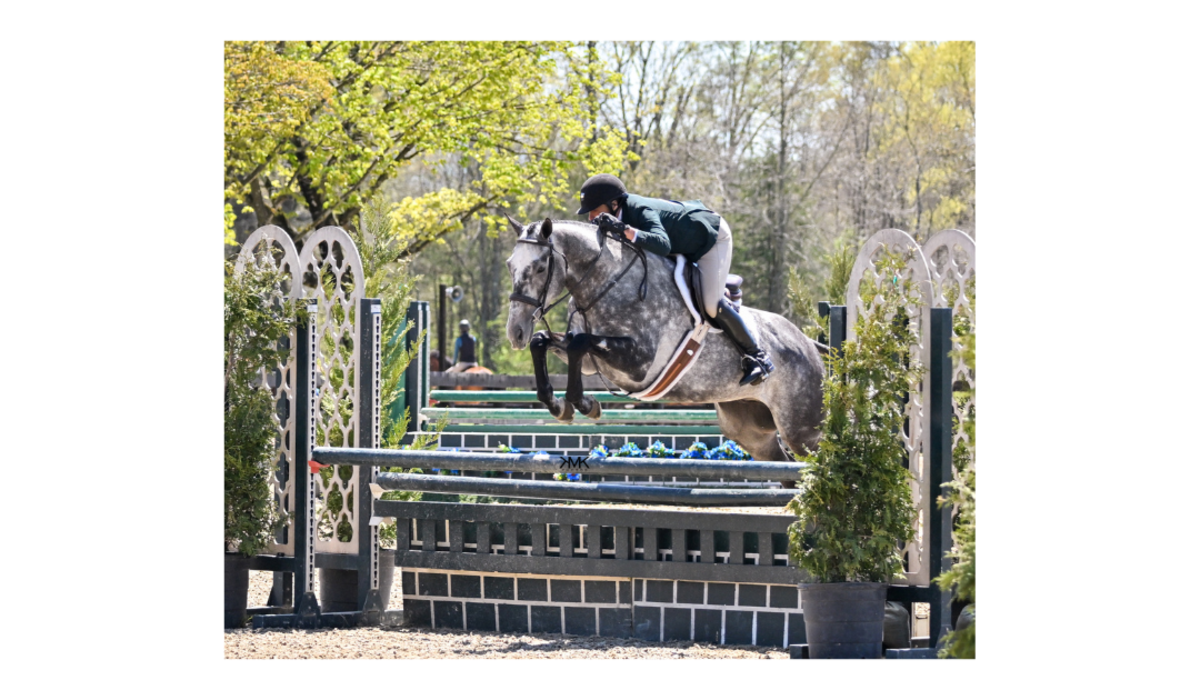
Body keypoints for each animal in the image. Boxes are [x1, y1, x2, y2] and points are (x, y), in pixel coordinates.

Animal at [504, 216, 826, 477]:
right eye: (510, 265)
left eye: (540, 267)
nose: (515, 333)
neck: (606, 282)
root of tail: (807, 344)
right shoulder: (590, 362)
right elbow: (545, 341)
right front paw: (558, 405)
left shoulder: (639, 363)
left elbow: (579, 344)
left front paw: (583, 404)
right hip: (749, 429)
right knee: (783, 465)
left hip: (803, 431)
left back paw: (759, 363)